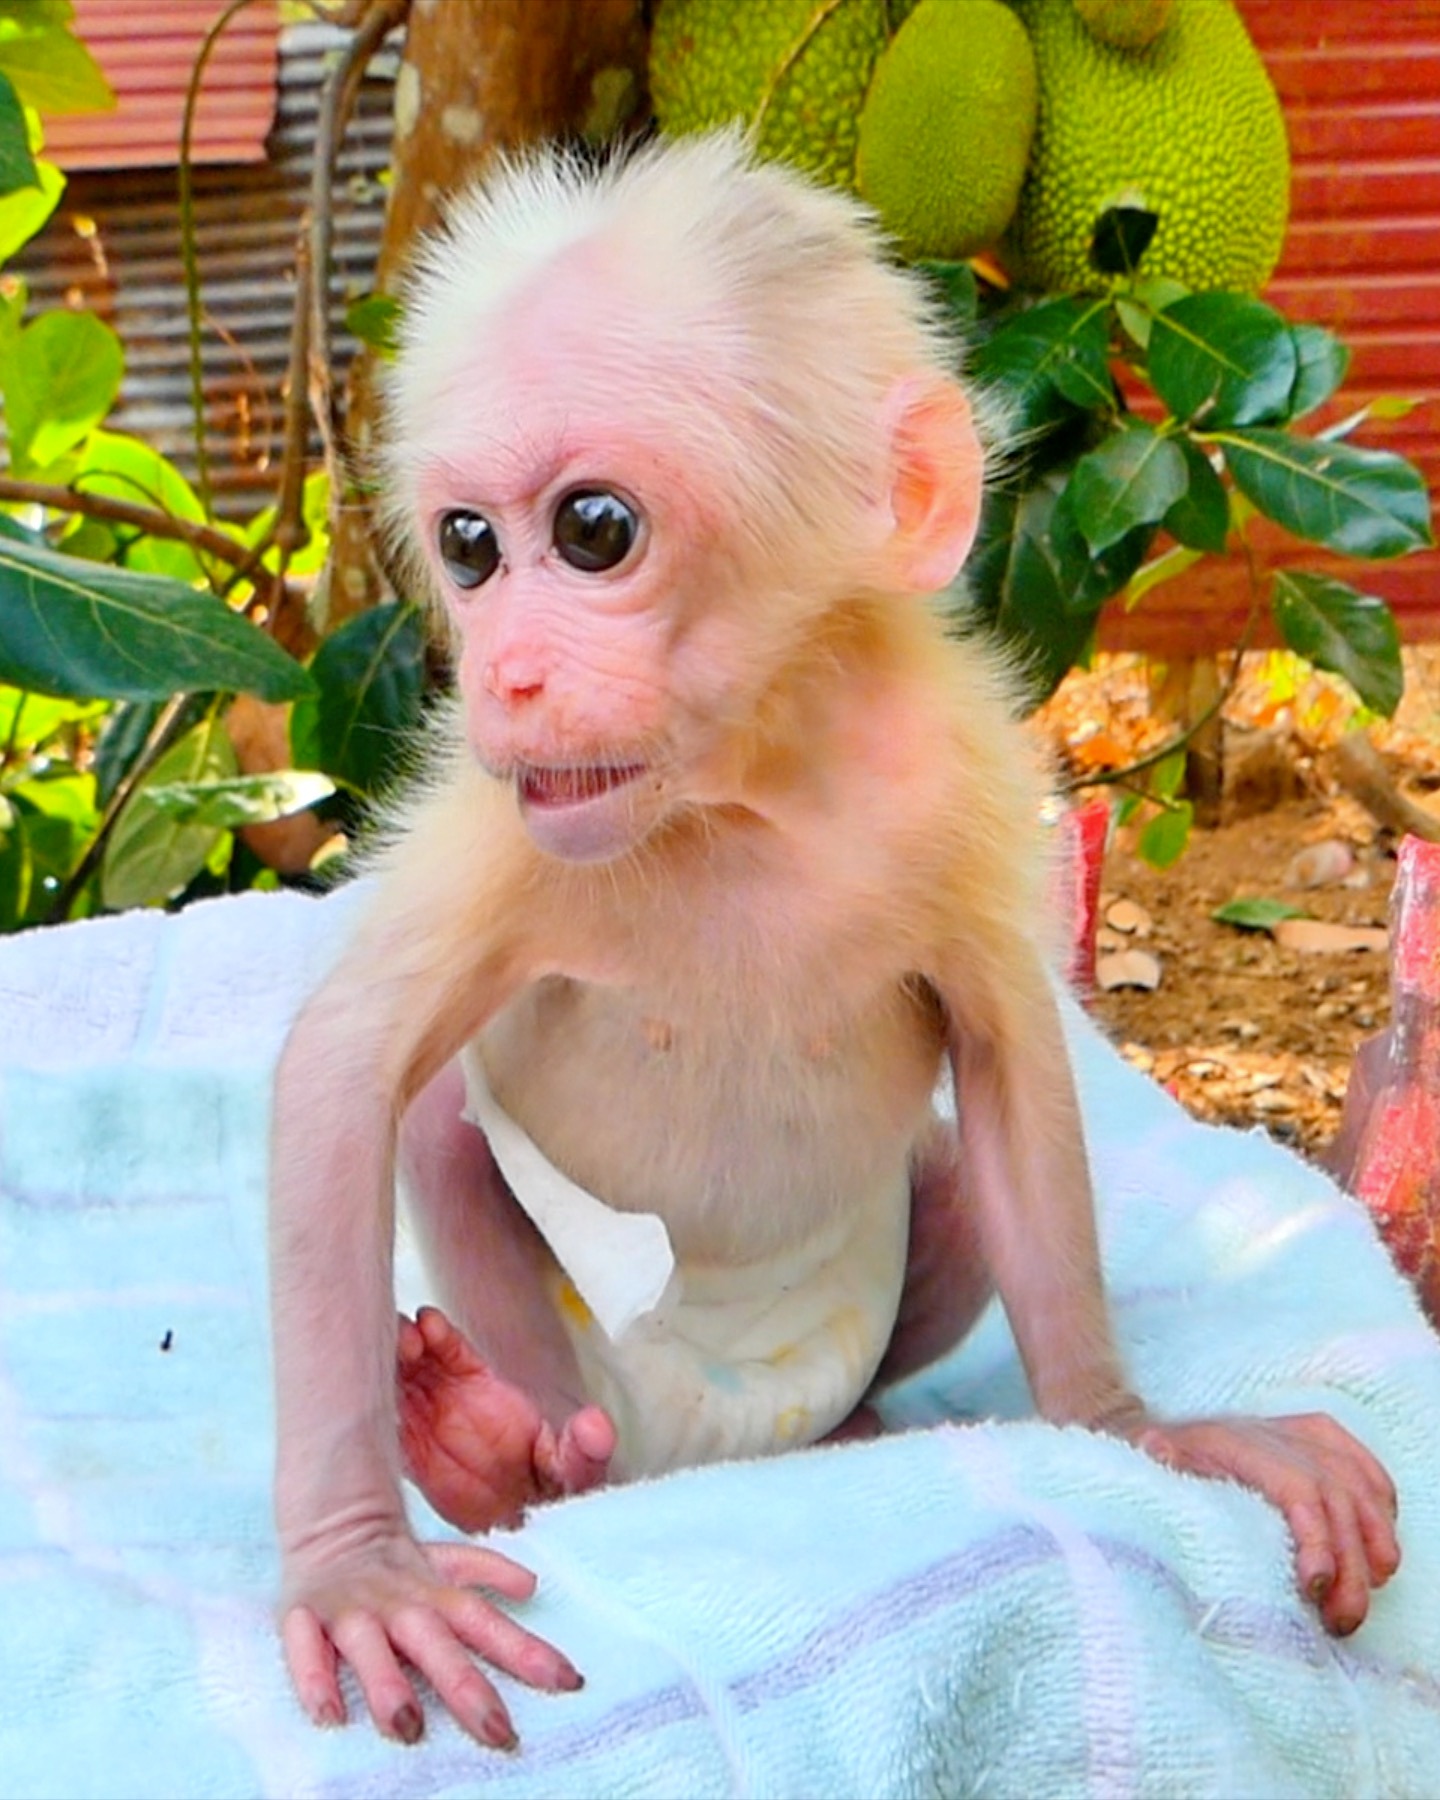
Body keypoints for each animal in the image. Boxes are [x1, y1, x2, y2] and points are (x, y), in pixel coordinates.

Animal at [270, 133, 1400, 1750]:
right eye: (469, 549)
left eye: (593, 533)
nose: (506, 673)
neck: (753, 787)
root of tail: (729, 1445)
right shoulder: (503, 832)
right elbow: (343, 1081)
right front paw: (360, 1569)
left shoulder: (961, 777)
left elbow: (1010, 1058)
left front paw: (1138, 1433)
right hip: (611, 1373)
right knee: (436, 1139)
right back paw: (506, 1455)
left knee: (963, 1166)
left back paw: (848, 1425)